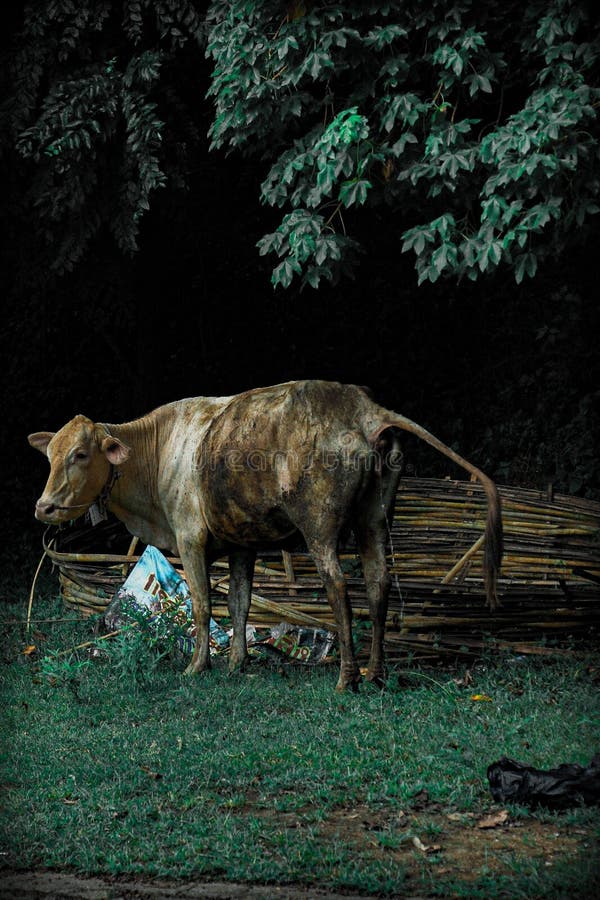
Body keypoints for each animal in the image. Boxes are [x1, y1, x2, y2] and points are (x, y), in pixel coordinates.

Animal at [28, 380, 503, 691]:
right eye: (49, 455)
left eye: (80, 454)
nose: (44, 507)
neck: (158, 453)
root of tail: (361, 406)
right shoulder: (242, 544)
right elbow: (239, 604)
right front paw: (238, 662)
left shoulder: (189, 537)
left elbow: (204, 605)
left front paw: (198, 667)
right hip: (374, 520)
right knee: (377, 583)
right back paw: (376, 673)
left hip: (320, 525)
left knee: (339, 586)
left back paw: (347, 679)